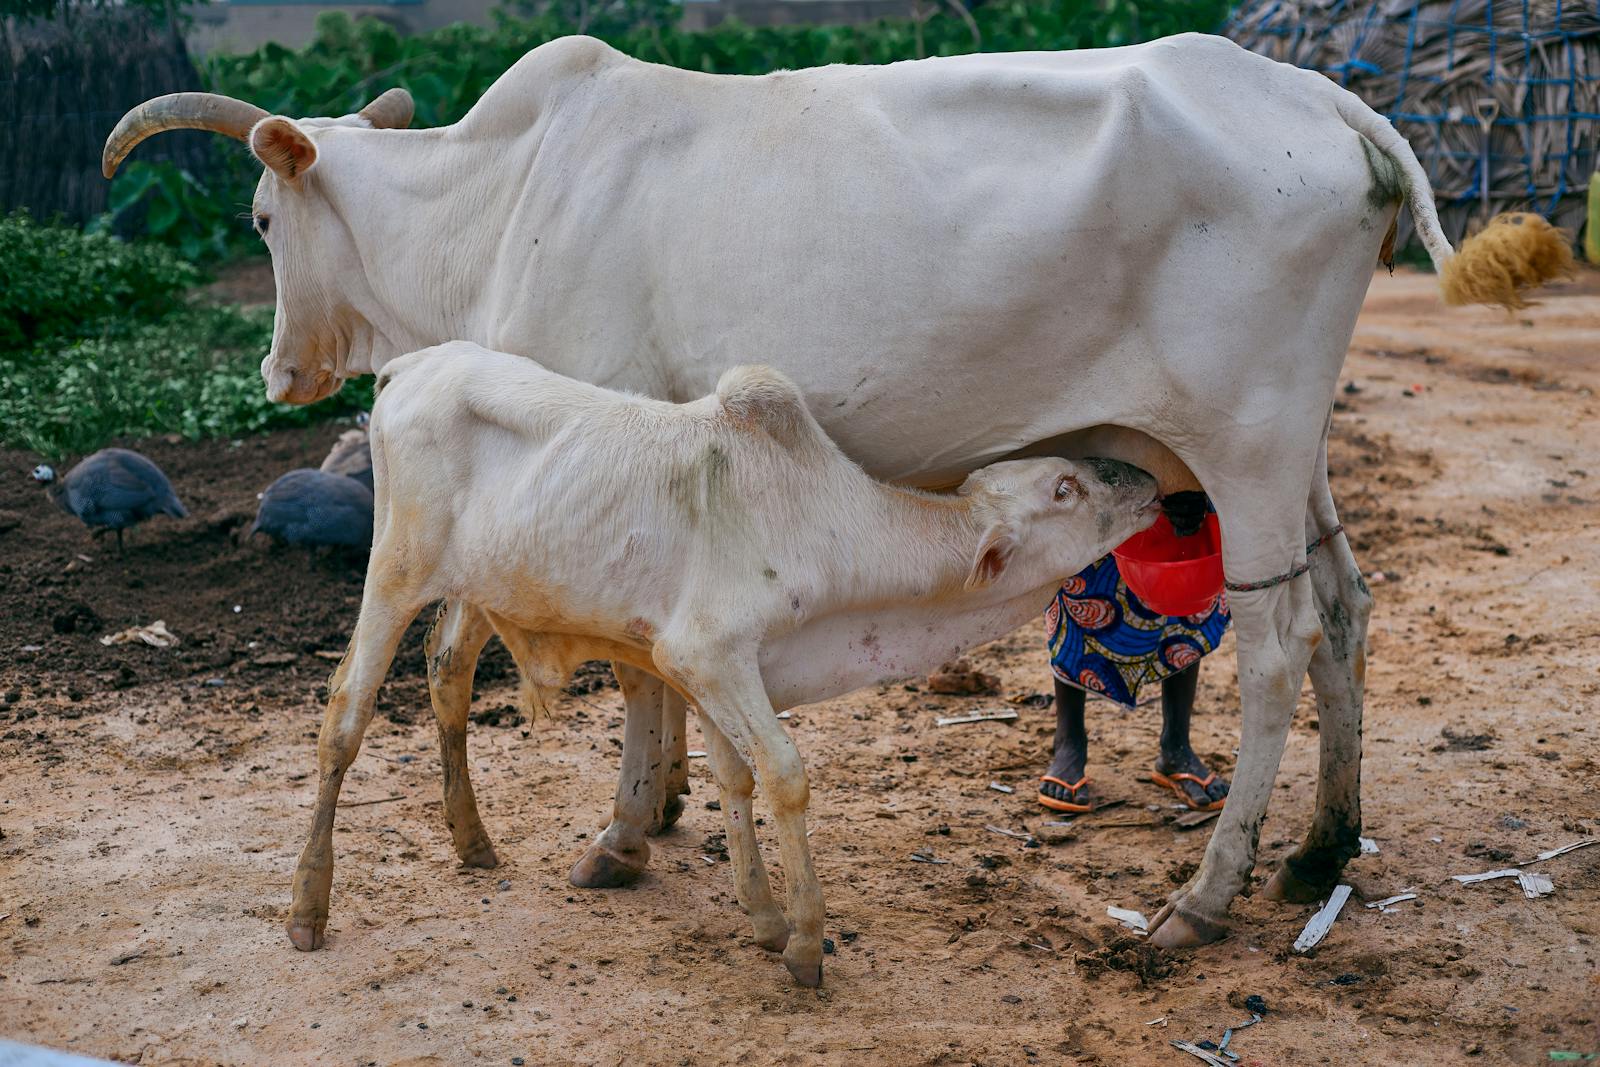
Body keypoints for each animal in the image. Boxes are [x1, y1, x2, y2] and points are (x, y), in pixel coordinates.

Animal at [301, 342, 1160, 984]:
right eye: (1066, 486)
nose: (1150, 478)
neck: (829, 525)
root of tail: (412, 363)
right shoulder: (707, 651)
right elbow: (784, 773)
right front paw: (806, 939)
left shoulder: (710, 666)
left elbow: (735, 776)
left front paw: (764, 915)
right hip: (395, 573)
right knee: (345, 714)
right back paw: (308, 904)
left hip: (470, 588)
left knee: (446, 676)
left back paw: (472, 840)